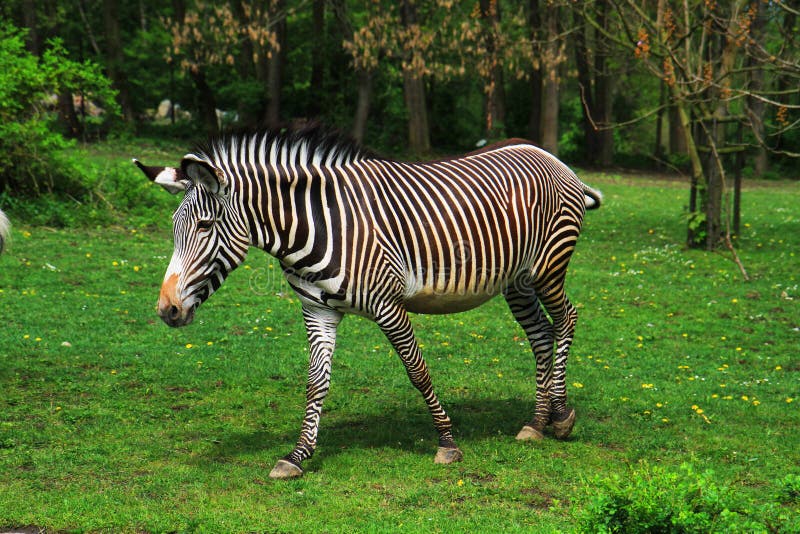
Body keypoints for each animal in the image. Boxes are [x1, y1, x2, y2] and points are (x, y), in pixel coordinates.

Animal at [134, 125, 602, 479]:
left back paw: (561, 416)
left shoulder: (389, 305)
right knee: (540, 334)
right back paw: (537, 422)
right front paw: (297, 456)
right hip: (517, 280)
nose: (166, 310)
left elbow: (418, 371)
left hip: (548, 266)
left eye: (205, 225)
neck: (316, 226)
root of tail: (549, 156)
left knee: (567, 319)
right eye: (173, 226)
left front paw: (447, 443)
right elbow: (316, 382)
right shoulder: (318, 310)